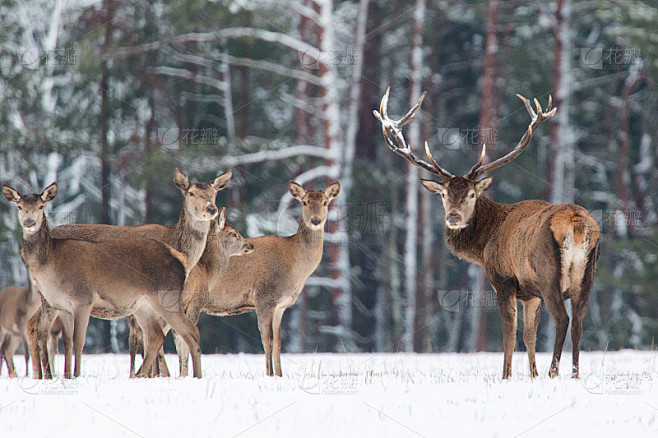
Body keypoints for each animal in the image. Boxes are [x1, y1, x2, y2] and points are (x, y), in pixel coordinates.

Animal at [27, 168, 231, 378]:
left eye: (214, 193)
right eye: (190, 193)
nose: (211, 209)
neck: (184, 252)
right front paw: (151, 374)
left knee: (32, 324)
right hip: (49, 297)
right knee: (36, 326)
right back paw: (43, 375)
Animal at [128, 208, 254, 377]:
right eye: (234, 234)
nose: (250, 245)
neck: (206, 272)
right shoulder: (194, 303)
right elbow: (184, 339)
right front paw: (184, 374)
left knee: (138, 336)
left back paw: (139, 373)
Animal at [174, 180, 340, 377]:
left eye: (325, 202)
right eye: (305, 202)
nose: (316, 220)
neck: (295, 265)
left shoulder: (281, 306)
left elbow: (278, 343)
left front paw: (280, 375)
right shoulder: (265, 297)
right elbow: (267, 340)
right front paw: (269, 374)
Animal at [374, 88, 600, 379]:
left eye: (472, 194)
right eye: (444, 194)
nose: (453, 217)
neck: (483, 247)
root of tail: (576, 224)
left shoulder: (504, 280)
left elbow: (509, 332)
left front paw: (506, 376)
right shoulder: (531, 293)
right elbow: (529, 335)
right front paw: (533, 375)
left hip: (549, 273)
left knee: (563, 319)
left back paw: (554, 373)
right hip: (587, 276)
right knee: (580, 322)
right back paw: (573, 374)